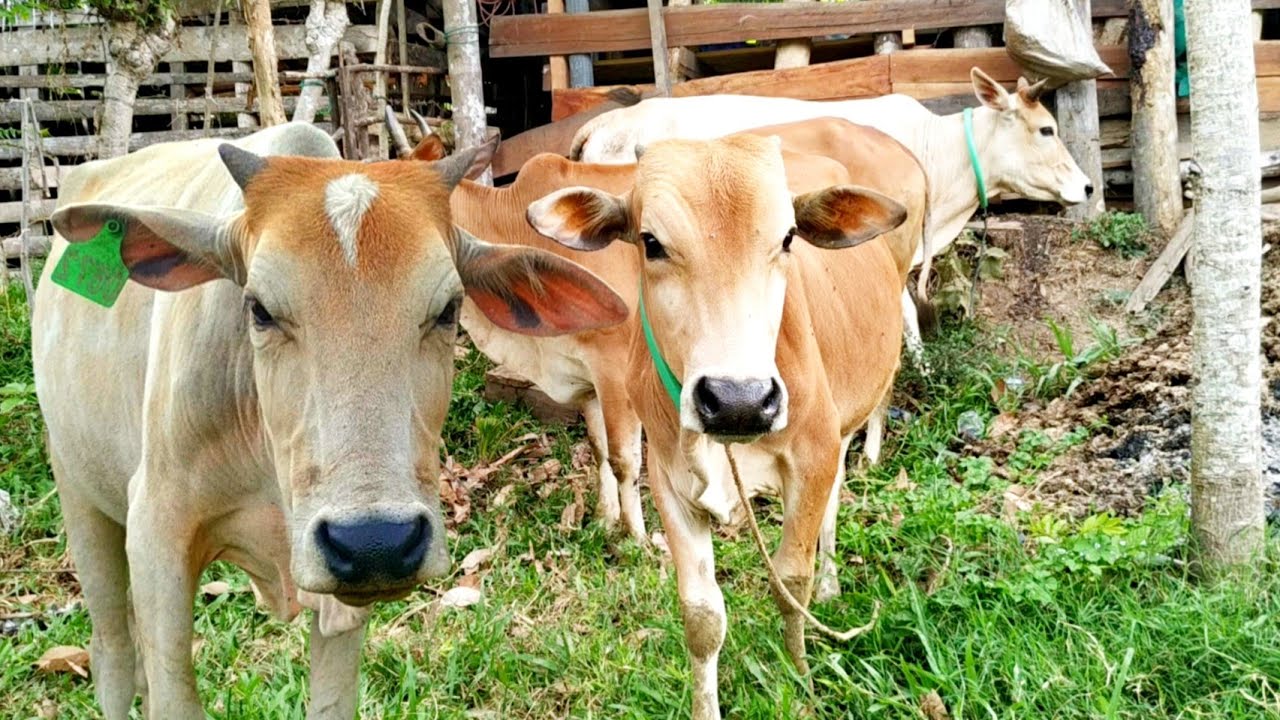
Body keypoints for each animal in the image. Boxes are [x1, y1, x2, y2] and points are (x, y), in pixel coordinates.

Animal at [31, 121, 628, 719]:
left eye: (448, 309)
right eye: (259, 309)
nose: (375, 542)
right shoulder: (158, 536)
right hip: (79, 493)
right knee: (113, 654)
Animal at [526, 133, 909, 720]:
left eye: (788, 238)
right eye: (651, 242)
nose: (738, 401)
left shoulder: (813, 457)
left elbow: (789, 582)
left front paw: (800, 681)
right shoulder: (668, 482)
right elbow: (702, 618)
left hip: (844, 428)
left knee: (832, 507)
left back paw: (829, 584)